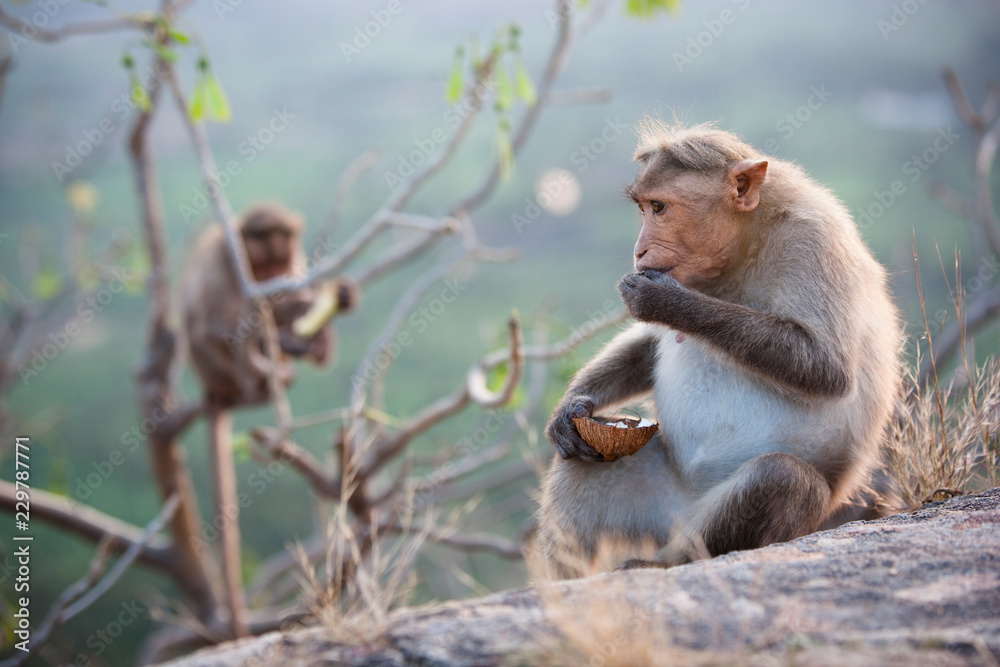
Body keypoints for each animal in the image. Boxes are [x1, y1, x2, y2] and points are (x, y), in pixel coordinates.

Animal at [180, 203, 358, 635]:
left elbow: (292, 300)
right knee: (217, 325)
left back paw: (309, 346)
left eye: (278, 265)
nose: (271, 281)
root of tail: (212, 390)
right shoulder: (221, 258)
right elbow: (215, 317)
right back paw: (262, 373)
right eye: (262, 267)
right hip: (215, 369)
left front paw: (337, 301)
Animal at [532, 121, 902, 579]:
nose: (639, 250)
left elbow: (826, 368)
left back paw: (663, 564)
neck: (745, 246)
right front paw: (570, 408)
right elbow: (648, 348)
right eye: (644, 208)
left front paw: (665, 301)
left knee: (780, 476)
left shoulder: (813, 241)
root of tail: (686, 510)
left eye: (659, 207)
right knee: (583, 464)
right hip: (652, 503)